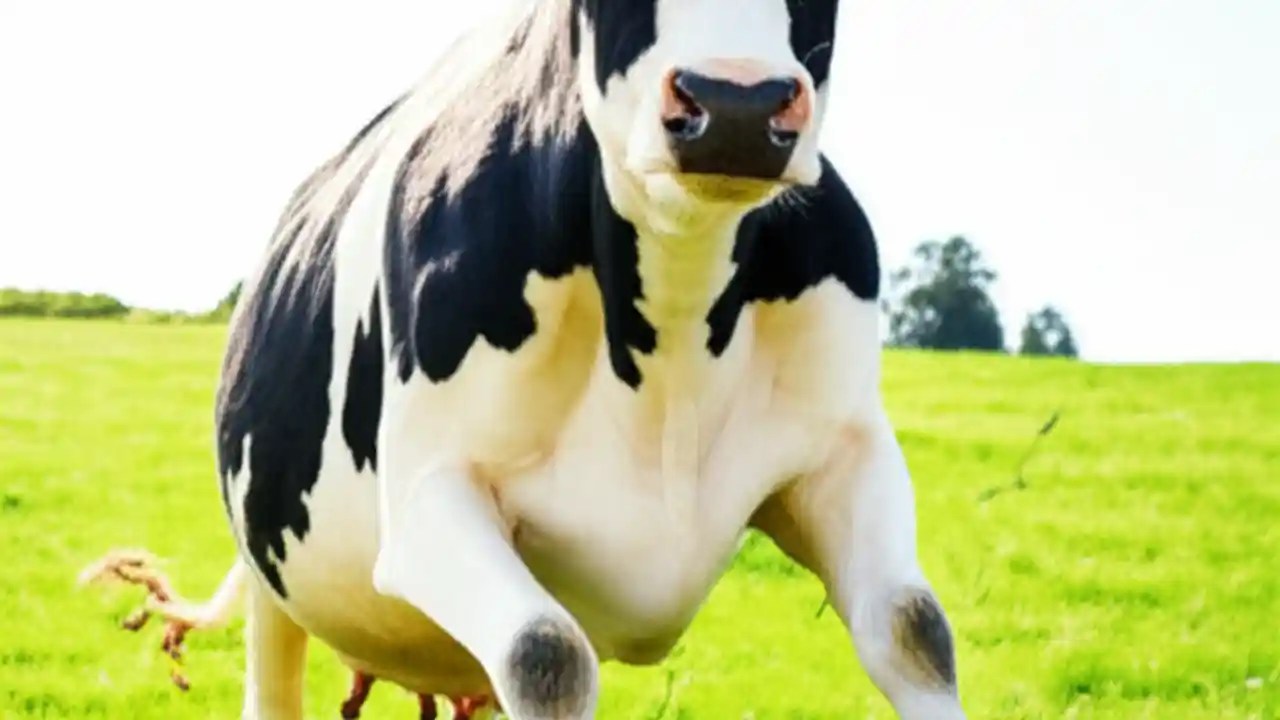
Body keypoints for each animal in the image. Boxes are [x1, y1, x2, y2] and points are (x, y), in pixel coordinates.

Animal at [85, 0, 968, 718]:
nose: (736, 105)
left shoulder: (849, 451)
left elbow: (915, 630)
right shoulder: (428, 492)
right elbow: (546, 652)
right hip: (272, 571)